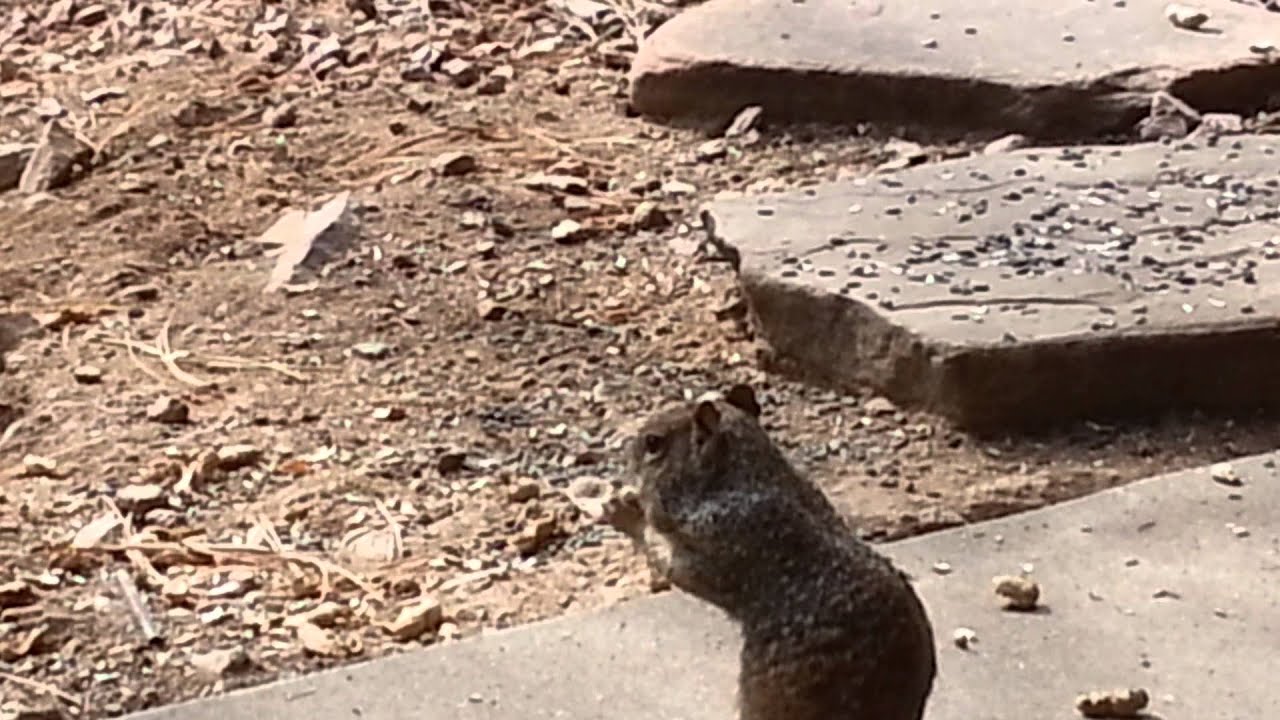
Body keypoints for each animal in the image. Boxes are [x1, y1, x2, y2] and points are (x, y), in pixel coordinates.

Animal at [606, 384, 937, 720]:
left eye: (653, 443)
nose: (624, 459)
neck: (747, 477)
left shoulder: (725, 540)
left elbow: (675, 566)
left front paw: (626, 514)